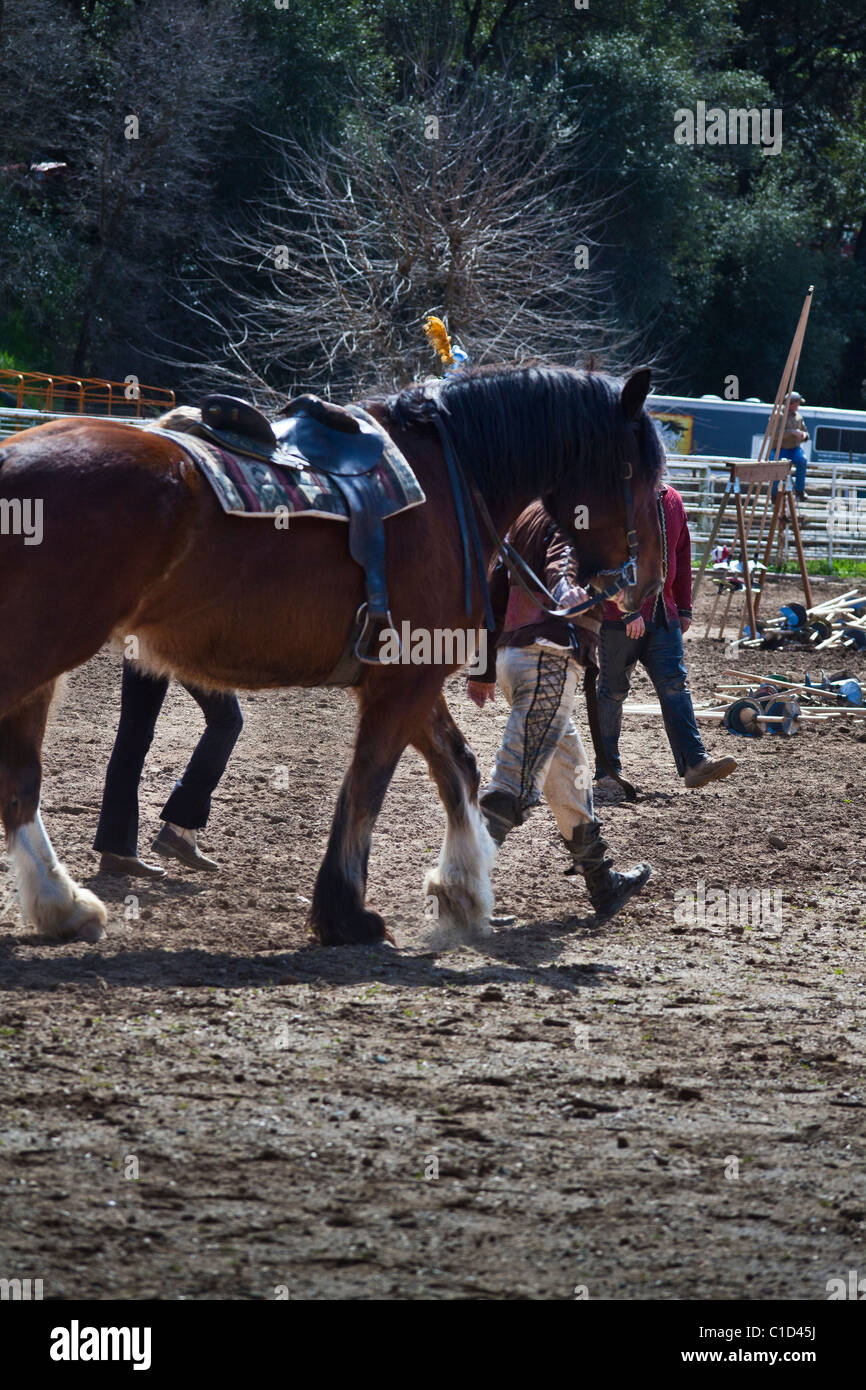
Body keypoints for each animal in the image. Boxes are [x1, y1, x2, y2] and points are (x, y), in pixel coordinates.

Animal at [0, 363, 663, 947]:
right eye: (644, 475)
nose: (646, 586)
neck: (453, 476)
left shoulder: (409, 678)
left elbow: (459, 770)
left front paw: (460, 894)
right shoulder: (403, 684)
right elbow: (368, 784)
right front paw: (347, 915)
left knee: (21, 780)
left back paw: (61, 905)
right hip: (35, 655)